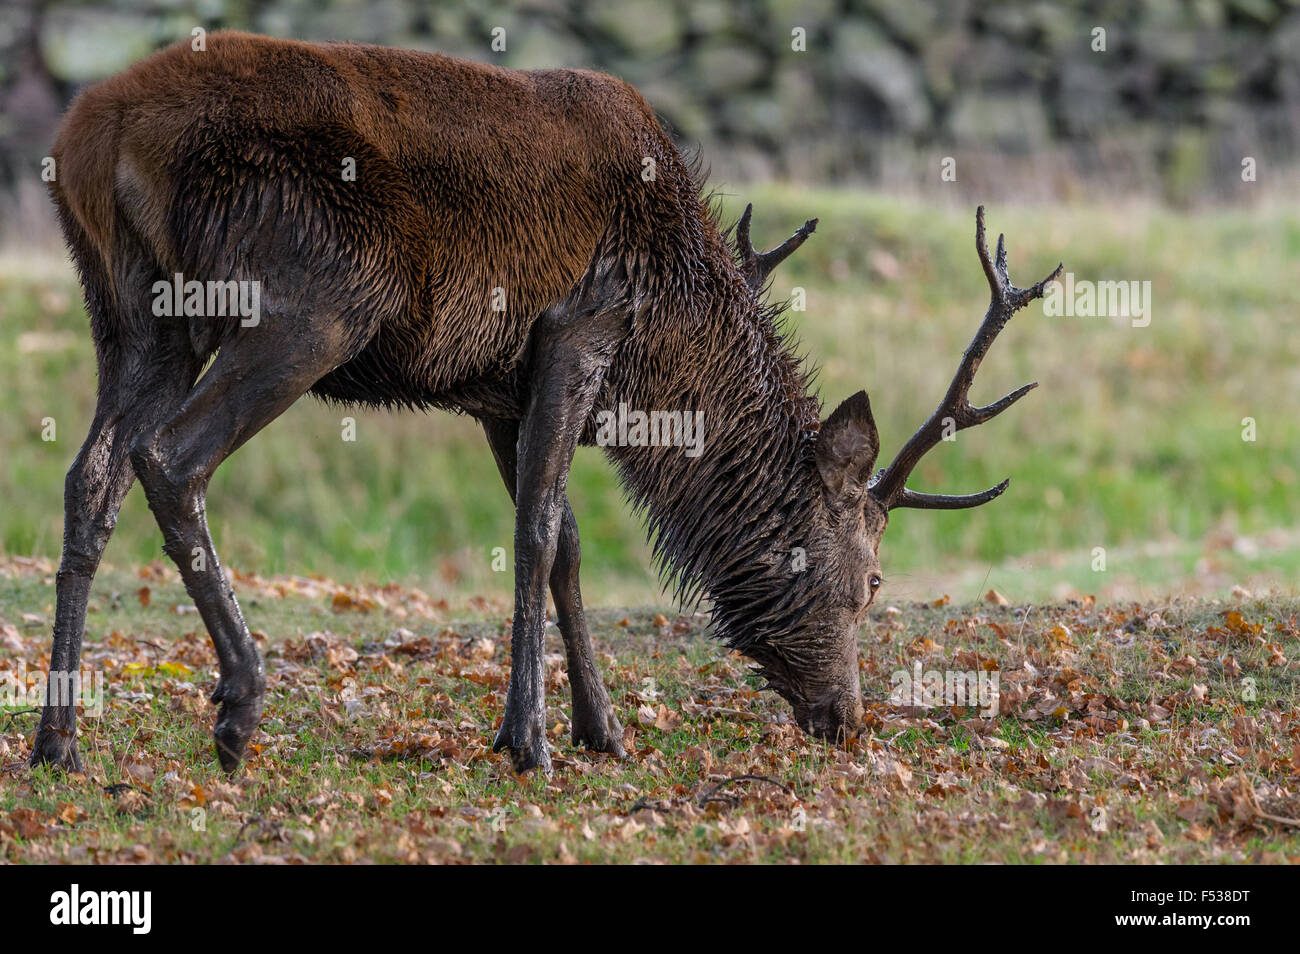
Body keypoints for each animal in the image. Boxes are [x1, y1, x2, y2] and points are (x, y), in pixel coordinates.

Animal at [31, 32, 1061, 776]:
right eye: (875, 580)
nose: (846, 718)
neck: (669, 331)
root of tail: (90, 136)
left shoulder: (500, 385)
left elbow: (562, 537)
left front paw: (601, 728)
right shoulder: (580, 324)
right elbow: (533, 530)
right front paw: (526, 740)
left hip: (136, 314)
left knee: (90, 475)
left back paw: (59, 741)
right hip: (308, 296)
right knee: (171, 457)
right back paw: (240, 705)